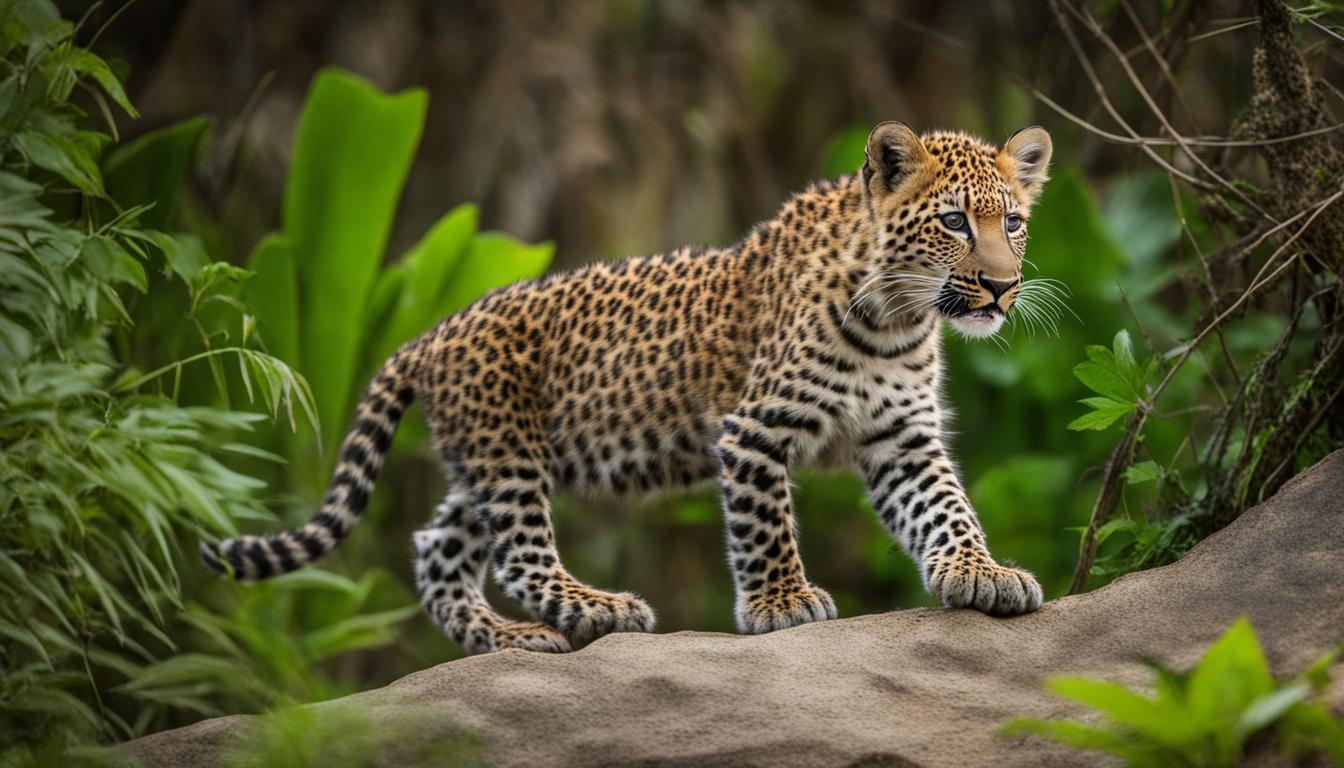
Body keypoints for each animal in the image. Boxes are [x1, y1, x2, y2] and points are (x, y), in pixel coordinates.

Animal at [201, 121, 1055, 655]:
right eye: (952, 221)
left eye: (1012, 223)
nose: (1001, 288)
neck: (898, 319)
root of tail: (430, 333)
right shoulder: (753, 431)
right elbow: (766, 525)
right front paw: (783, 605)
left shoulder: (901, 436)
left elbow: (946, 508)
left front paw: (983, 575)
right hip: (507, 449)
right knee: (519, 556)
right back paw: (600, 608)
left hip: (484, 461)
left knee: (438, 545)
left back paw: (510, 639)